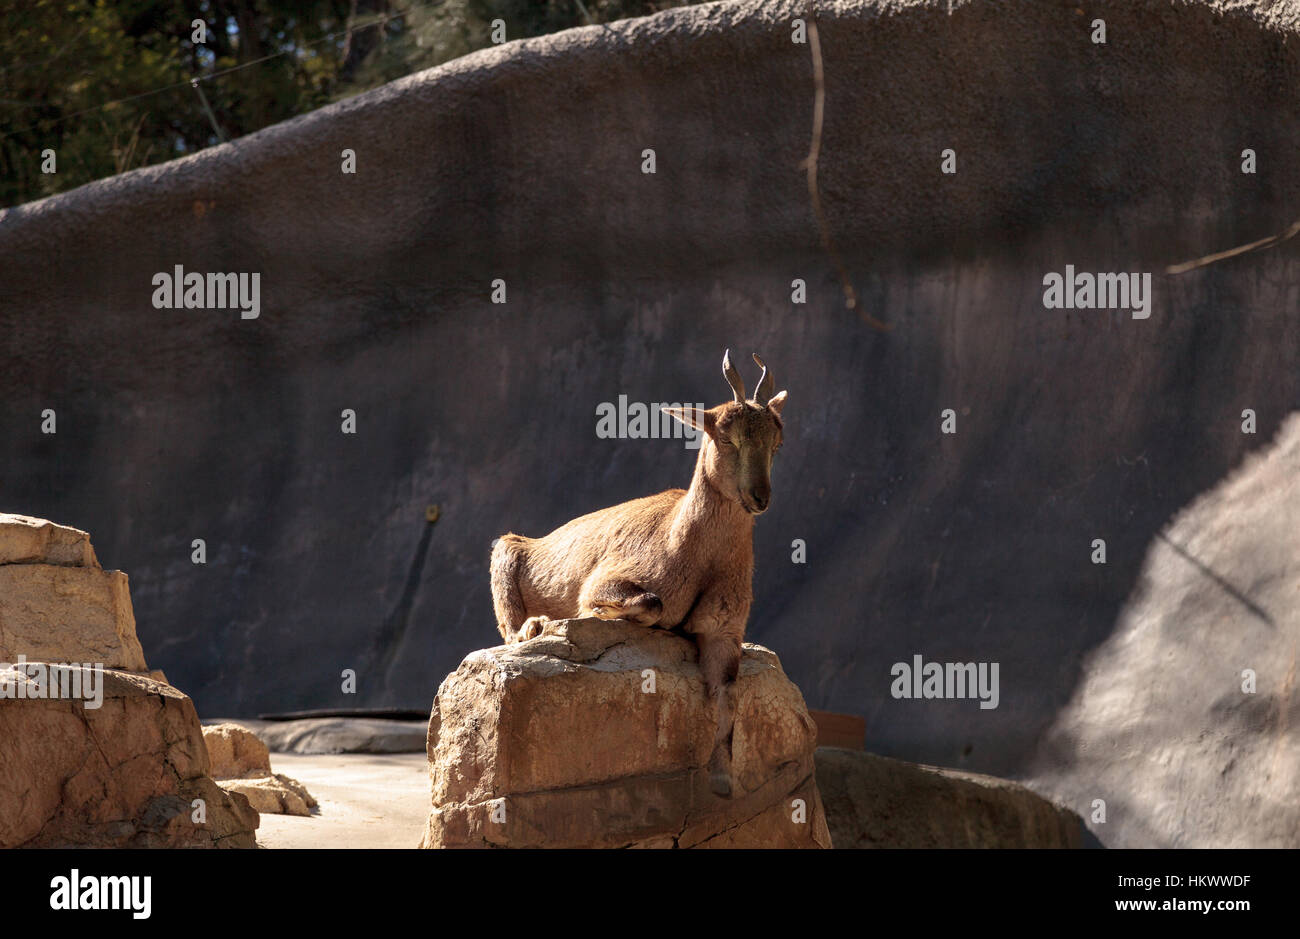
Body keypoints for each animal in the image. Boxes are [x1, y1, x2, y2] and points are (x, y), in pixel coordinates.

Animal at [489, 351, 787, 797]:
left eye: (776, 442)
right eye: (725, 436)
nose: (759, 498)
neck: (696, 553)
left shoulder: (724, 631)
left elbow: (728, 699)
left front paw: (721, 782)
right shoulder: (607, 580)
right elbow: (649, 602)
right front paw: (598, 614)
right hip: (505, 553)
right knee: (509, 632)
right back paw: (536, 626)